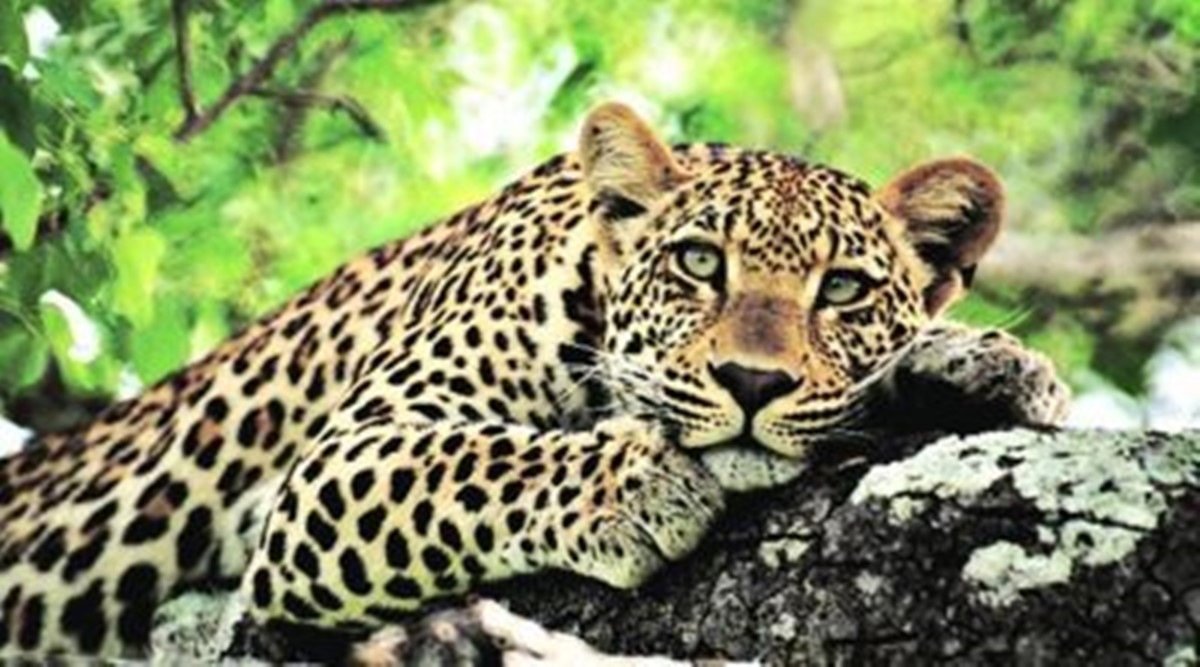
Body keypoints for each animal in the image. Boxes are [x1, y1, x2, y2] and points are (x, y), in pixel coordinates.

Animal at [0, 102, 1068, 659]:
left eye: (842, 288)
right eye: (697, 263)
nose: (752, 382)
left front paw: (985, 362)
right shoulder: (343, 457)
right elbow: (473, 460)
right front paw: (634, 486)